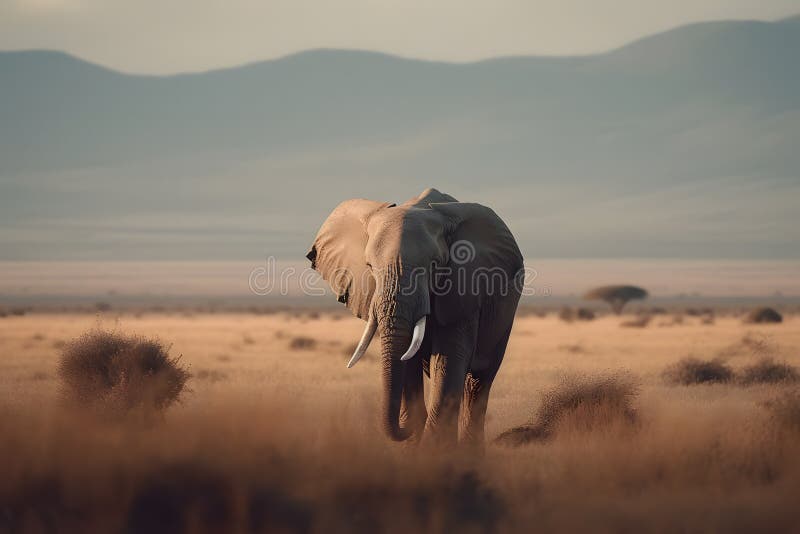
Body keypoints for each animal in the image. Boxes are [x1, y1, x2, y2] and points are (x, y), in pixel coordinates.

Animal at [306, 188, 523, 447]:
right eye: (369, 266)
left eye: (434, 265)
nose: (405, 429)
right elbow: (407, 362)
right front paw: (414, 443)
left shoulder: (463, 291)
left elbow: (448, 358)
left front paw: (434, 451)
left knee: (478, 380)